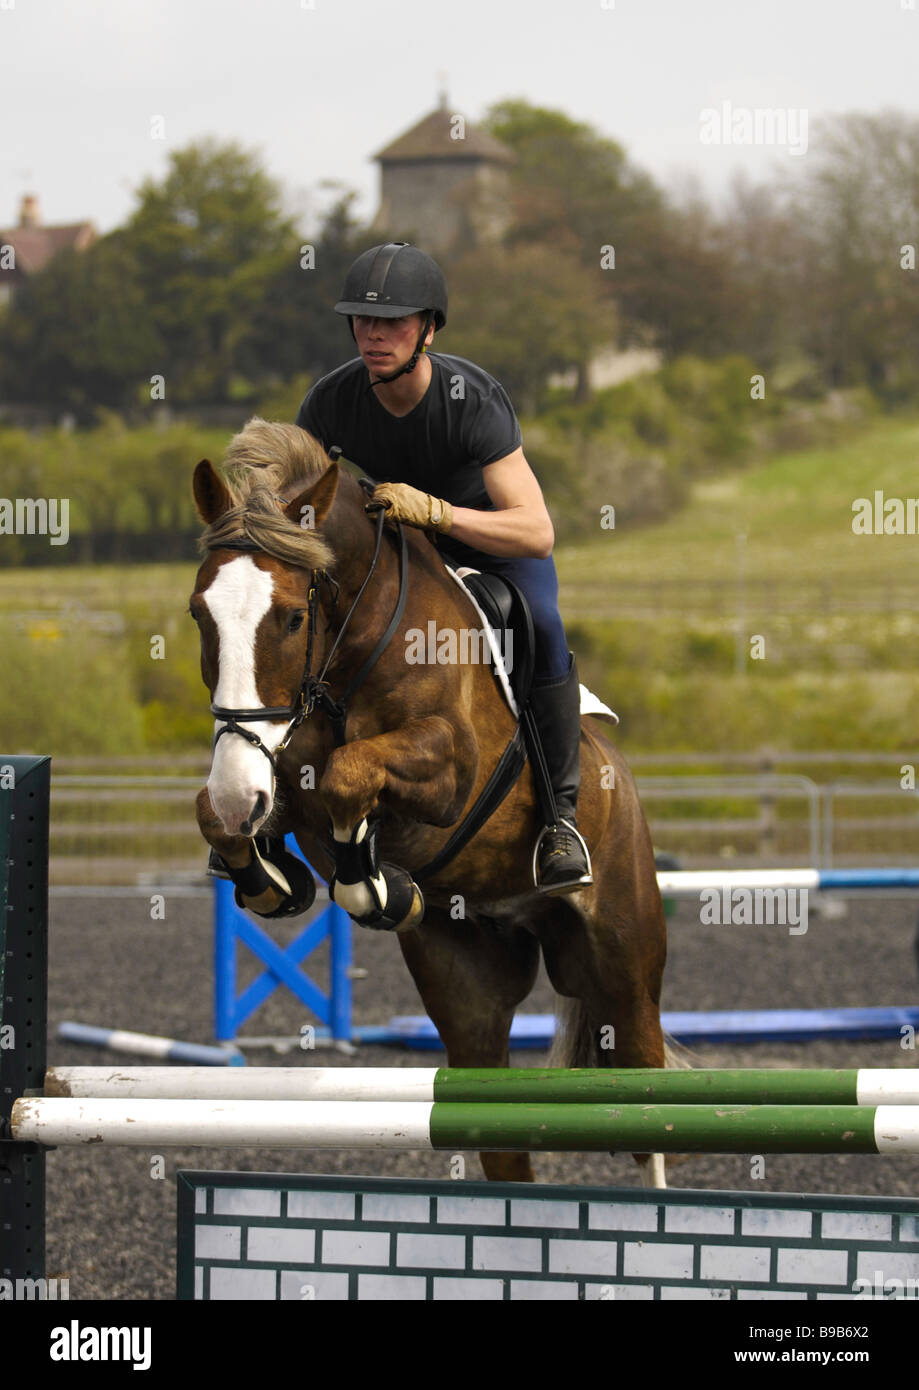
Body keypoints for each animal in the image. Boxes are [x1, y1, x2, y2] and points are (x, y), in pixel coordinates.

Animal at [190, 418, 670, 1184]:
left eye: (292, 619)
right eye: (199, 614)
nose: (242, 792)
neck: (350, 649)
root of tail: (617, 777)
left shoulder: (451, 770)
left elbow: (348, 773)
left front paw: (370, 884)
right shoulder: (271, 763)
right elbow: (234, 809)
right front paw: (274, 877)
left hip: (624, 968)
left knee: (650, 1104)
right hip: (469, 983)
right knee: (500, 1133)